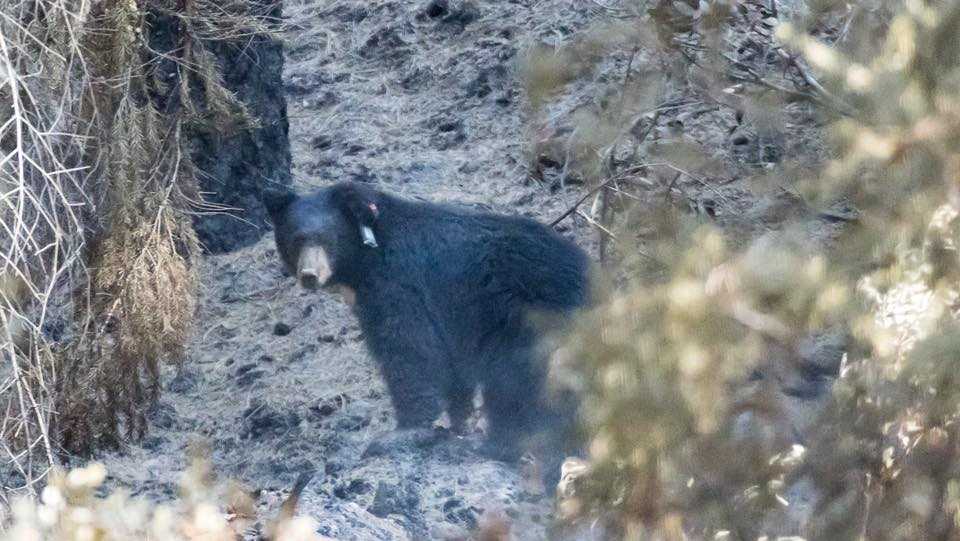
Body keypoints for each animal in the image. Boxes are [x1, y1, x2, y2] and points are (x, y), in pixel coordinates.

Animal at [264, 181, 590, 487]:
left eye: (327, 238)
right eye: (295, 239)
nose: (309, 276)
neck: (366, 257)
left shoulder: (398, 284)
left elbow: (409, 351)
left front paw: (399, 434)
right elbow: (451, 366)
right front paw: (458, 423)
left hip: (527, 325)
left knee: (512, 385)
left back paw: (493, 446)